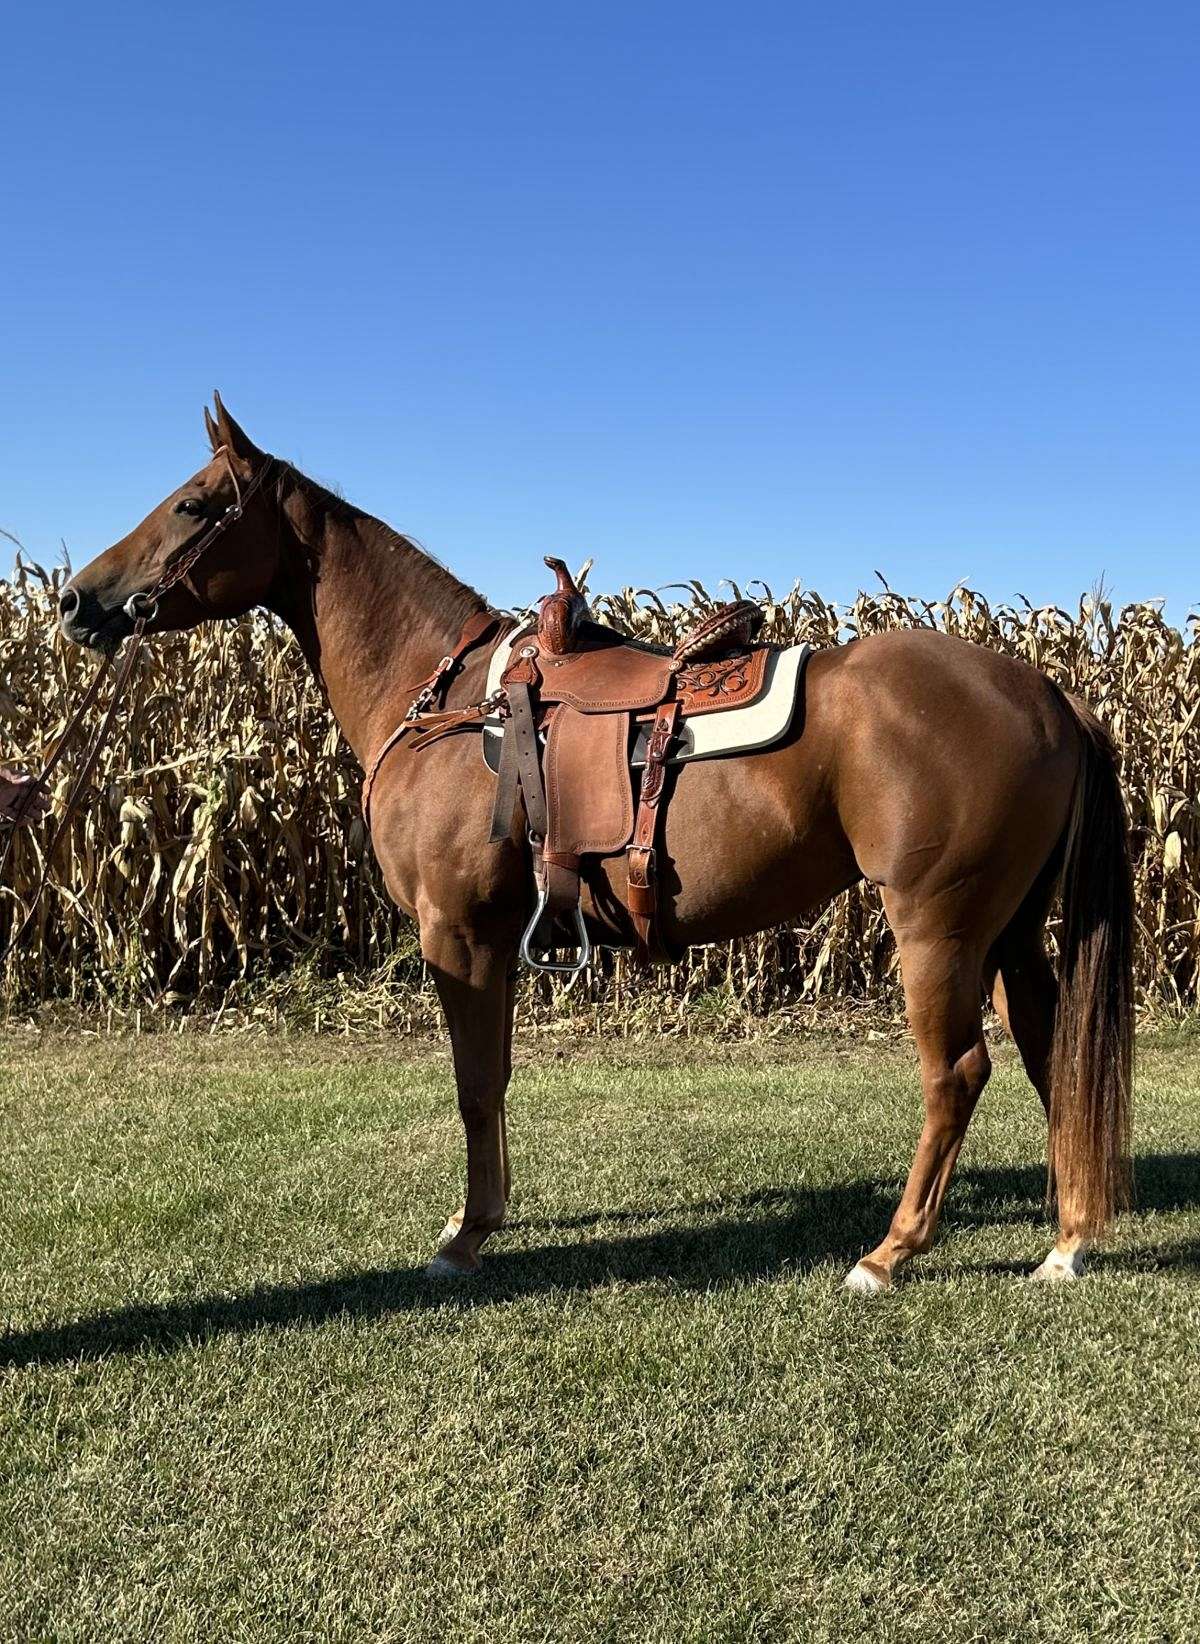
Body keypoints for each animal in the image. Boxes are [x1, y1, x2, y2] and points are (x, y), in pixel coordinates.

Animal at [58, 395, 1133, 1291]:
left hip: (938, 930)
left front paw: (466, 1237)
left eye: (194, 504)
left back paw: (890, 1253)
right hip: (1008, 931)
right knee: (1051, 1053)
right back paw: (1068, 1242)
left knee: (957, 1073)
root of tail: (1046, 693)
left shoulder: (459, 936)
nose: (77, 601)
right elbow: (492, 1080)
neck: (445, 698)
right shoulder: (491, 940)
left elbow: (474, 1086)